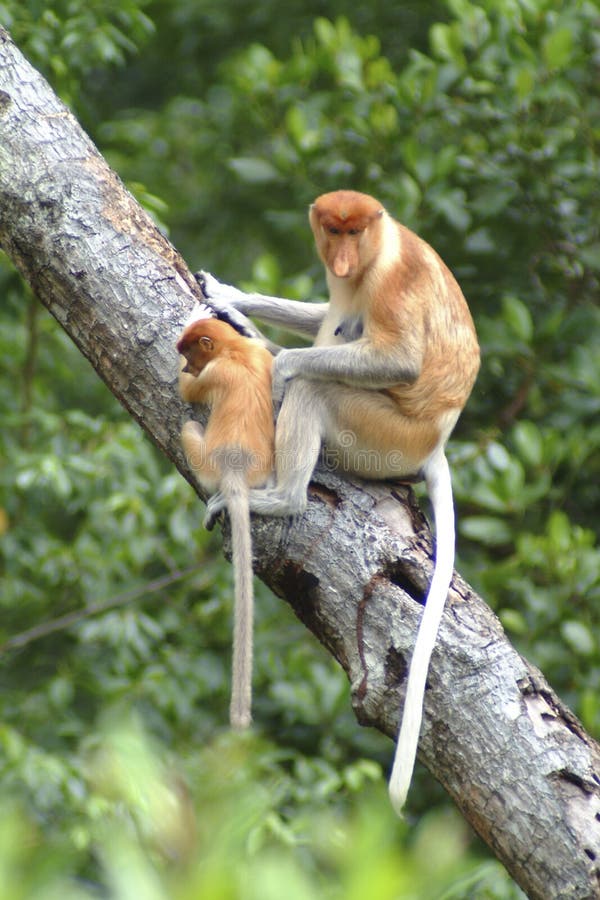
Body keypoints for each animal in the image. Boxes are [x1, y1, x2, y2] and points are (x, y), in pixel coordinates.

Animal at [198, 189, 480, 812]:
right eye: (334, 231)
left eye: (356, 233)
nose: (345, 260)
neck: (381, 247)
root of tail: (435, 442)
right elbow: (329, 305)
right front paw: (227, 294)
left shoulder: (391, 282)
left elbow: (399, 358)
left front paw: (279, 364)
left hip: (380, 430)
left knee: (317, 387)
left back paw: (281, 490)